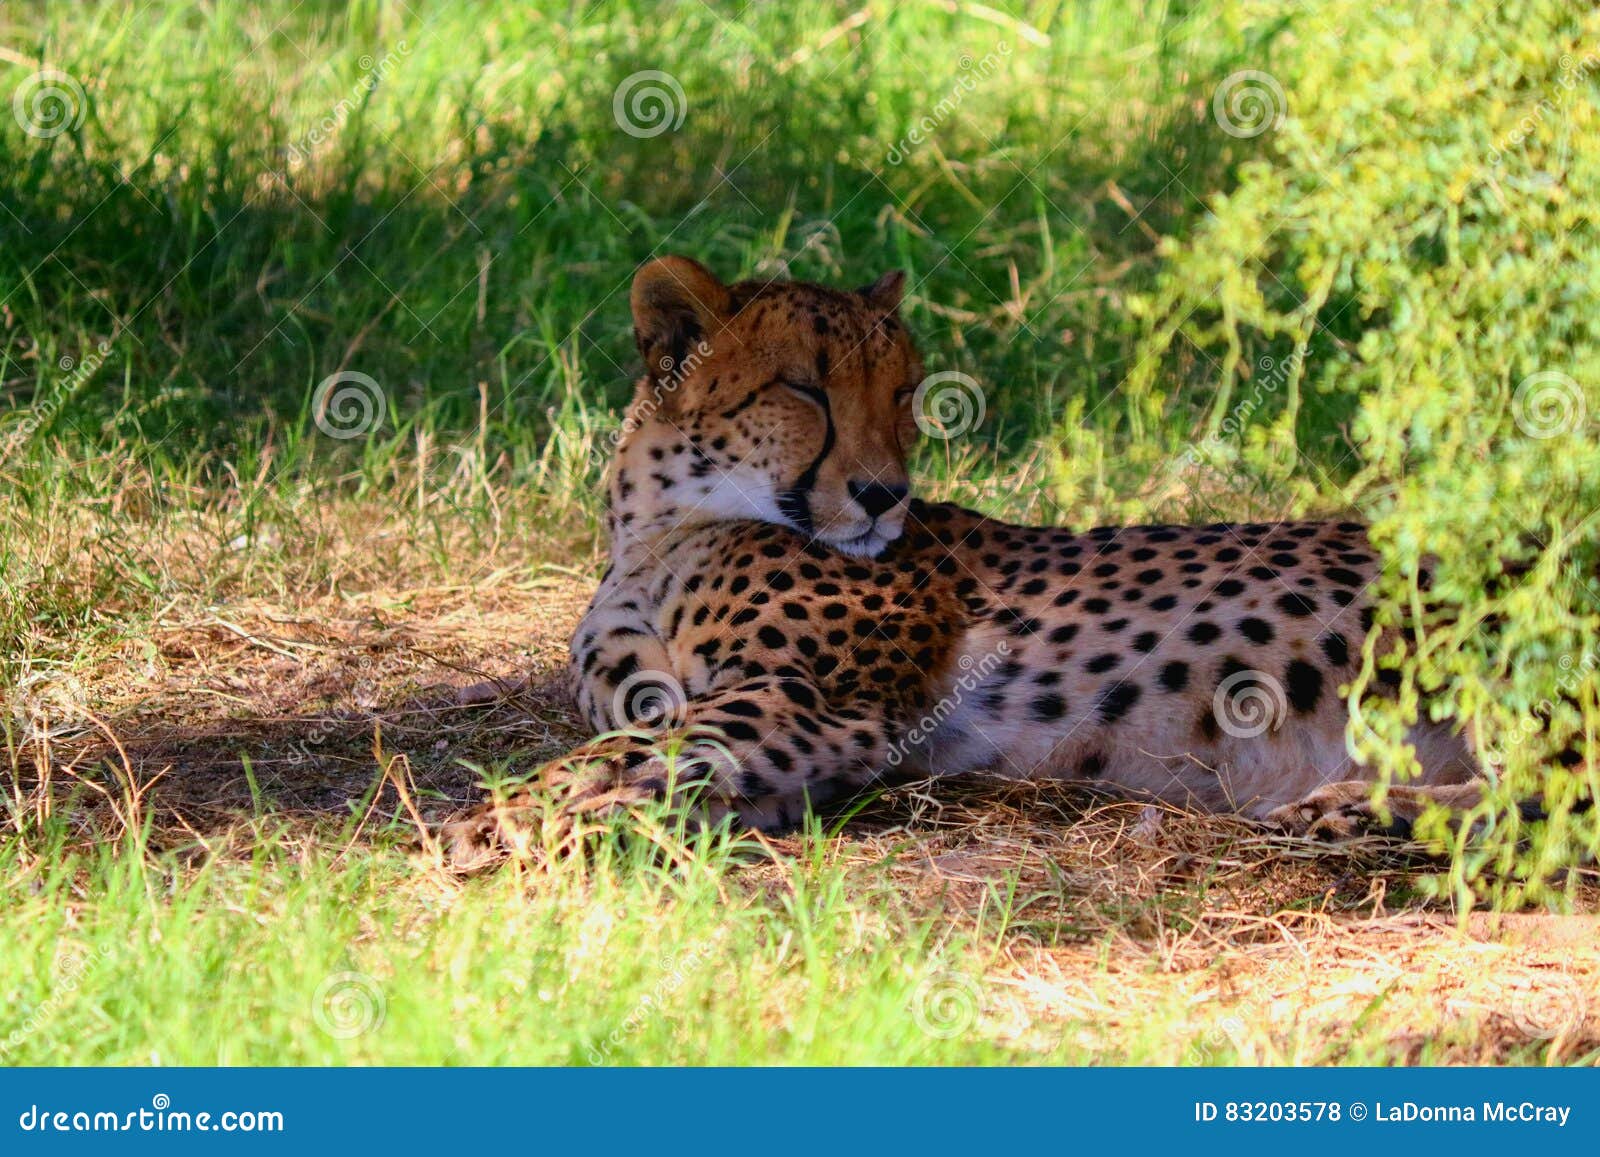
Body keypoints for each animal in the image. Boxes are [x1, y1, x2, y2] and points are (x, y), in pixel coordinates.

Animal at [440, 255, 1501, 868]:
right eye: (804, 390)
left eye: (905, 391)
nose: (885, 494)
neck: (662, 530)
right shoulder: (797, 734)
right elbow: (657, 759)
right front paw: (569, 823)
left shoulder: (818, 699)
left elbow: (617, 757)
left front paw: (502, 821)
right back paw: (1359, 809)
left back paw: (1363, 813)